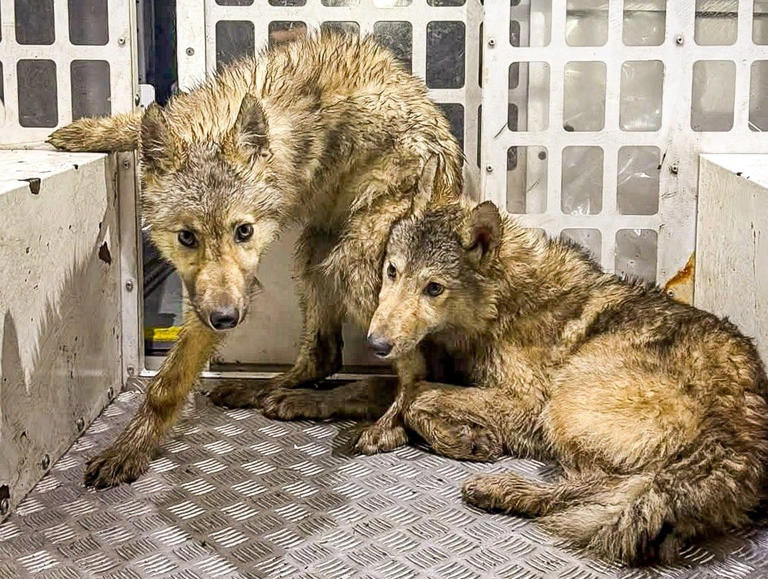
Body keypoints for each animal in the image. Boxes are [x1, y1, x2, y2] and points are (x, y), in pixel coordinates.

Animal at [48, 32, 464, 487]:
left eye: (243, 231)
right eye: (187, 237)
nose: (226, 319)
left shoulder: (221, 299)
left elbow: (166, 385)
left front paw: (129, 448)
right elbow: (143, 120)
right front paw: (87, 131)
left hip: (357, 267)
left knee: (417, 367)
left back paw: (387, 427)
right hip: (315, 255)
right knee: (323, 356)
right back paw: (268, 391)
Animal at [283, 198, 768, 563]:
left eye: (434, 288)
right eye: (392, 272)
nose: (376, 344)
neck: (501, 302)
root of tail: (736, 435)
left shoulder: (529, 404)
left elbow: (417, 396)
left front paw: (453, 437)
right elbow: (372, 388)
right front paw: (298, 398)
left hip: (565, 406)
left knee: (594, 488)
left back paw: (504, 490)